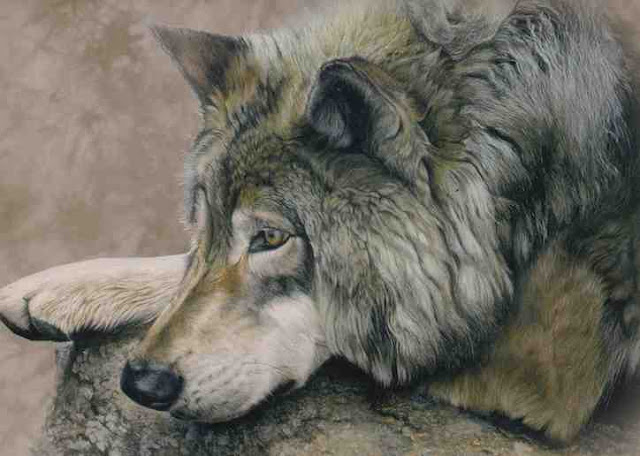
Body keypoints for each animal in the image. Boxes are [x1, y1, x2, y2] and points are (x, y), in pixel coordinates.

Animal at [2, 0, 640, 443]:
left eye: (271, 239)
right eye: (203, 227)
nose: (140, 383)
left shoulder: (533, 380)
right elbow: (179, 270)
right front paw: (55, 288)